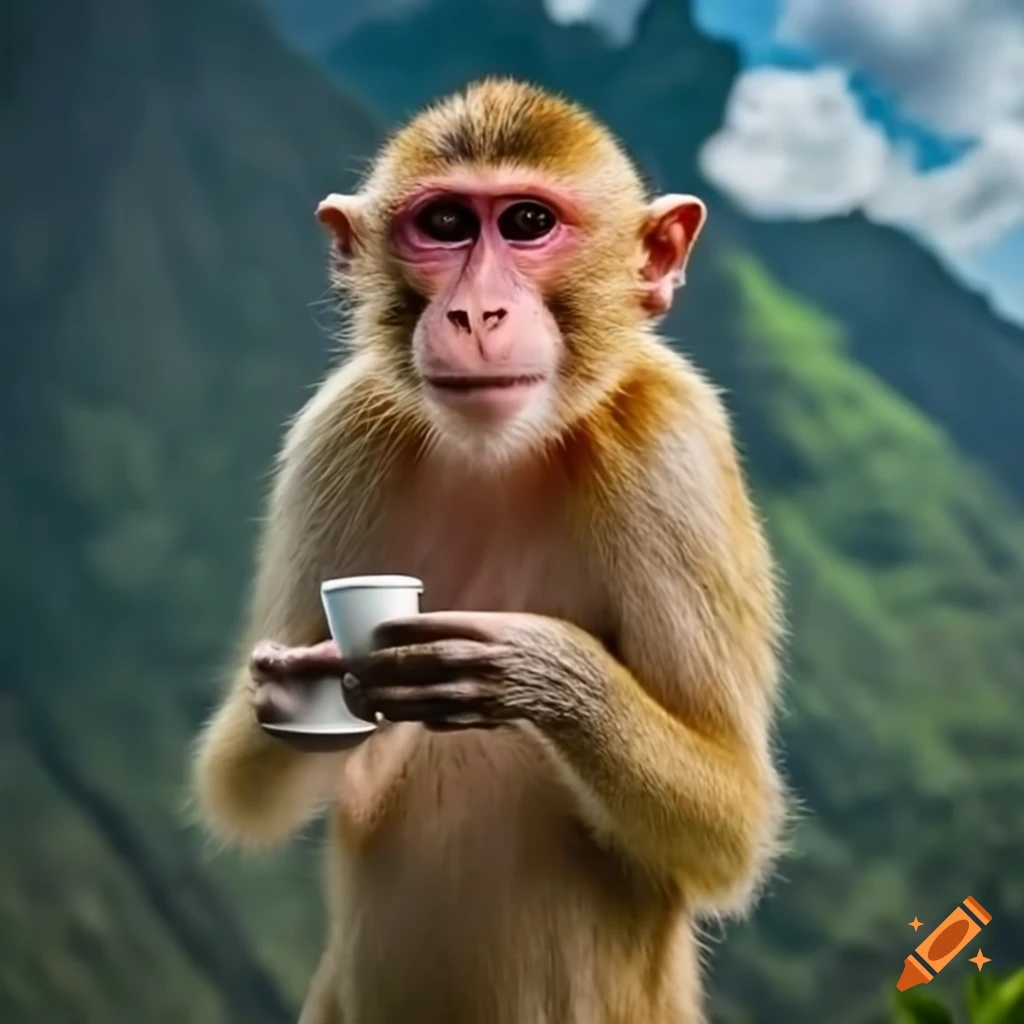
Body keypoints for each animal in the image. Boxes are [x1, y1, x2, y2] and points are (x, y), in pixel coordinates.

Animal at [192, 78, 785, 1024]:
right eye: (443, 225)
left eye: (527, 221)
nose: (476, 312)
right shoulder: (342, 427)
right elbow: (239, 788)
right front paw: (306, 687)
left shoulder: (671, 441)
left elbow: (728, 828)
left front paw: (539, 672)